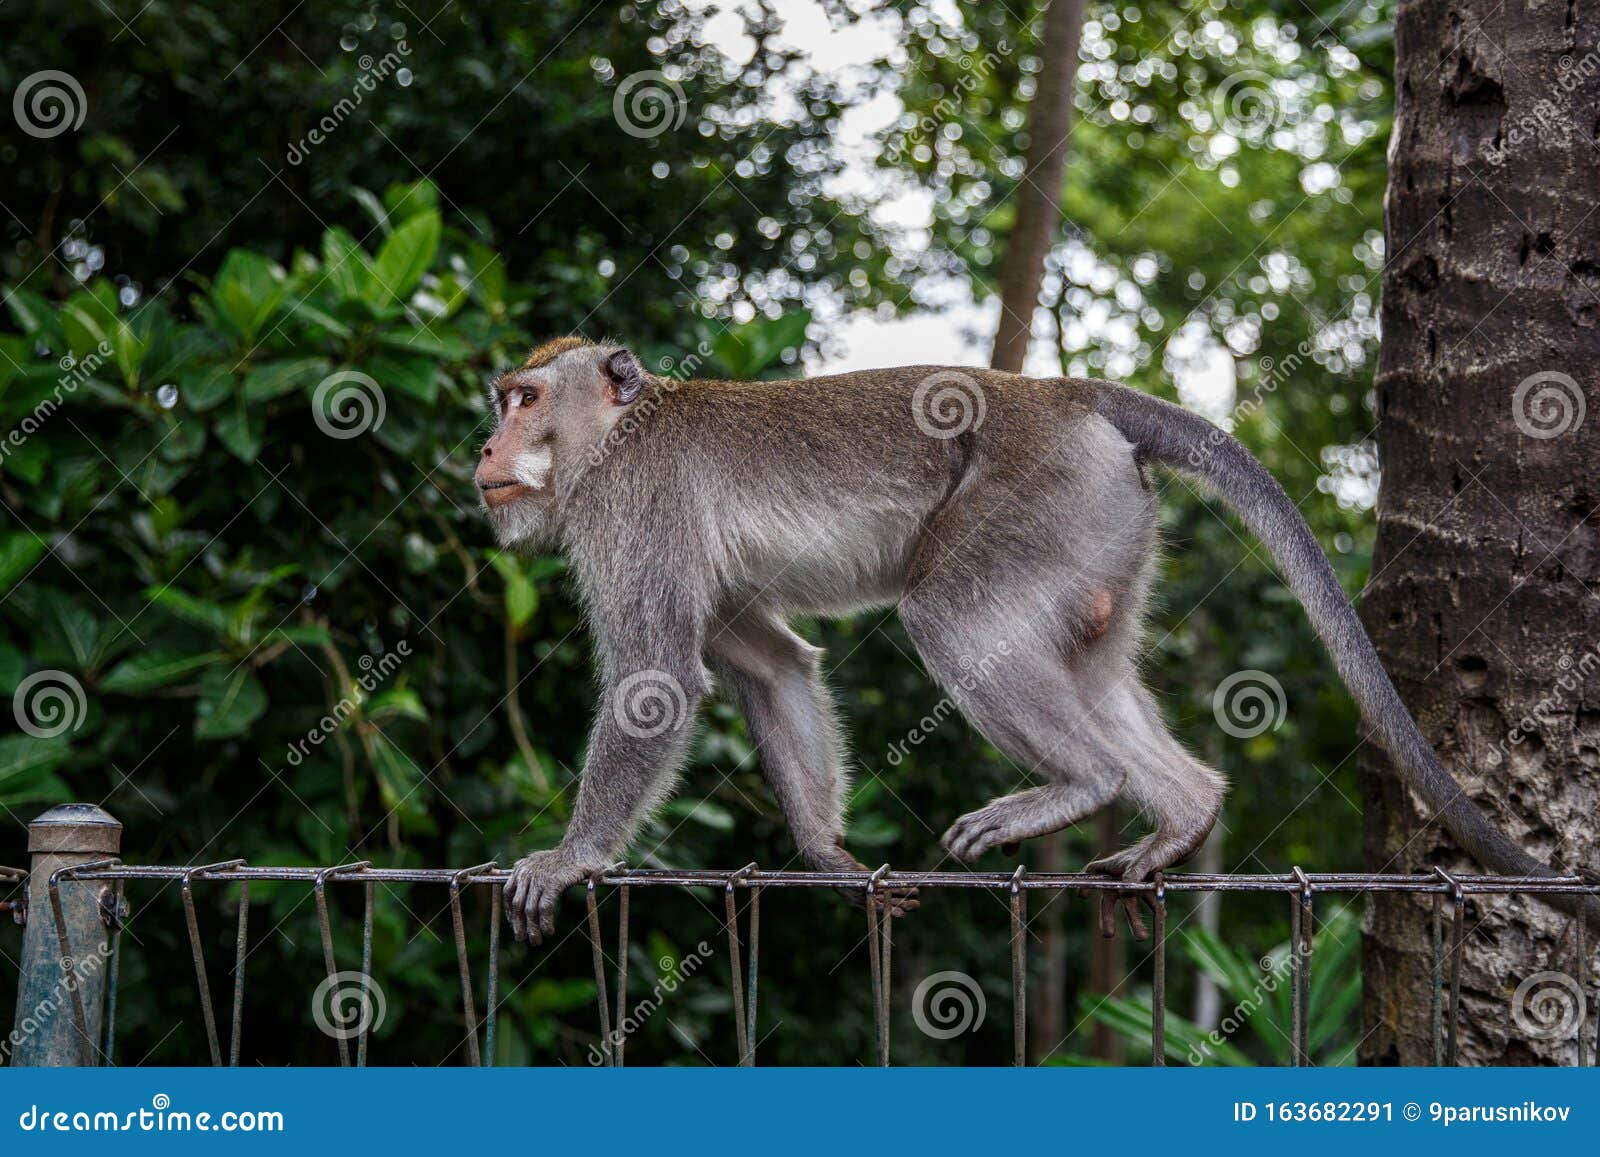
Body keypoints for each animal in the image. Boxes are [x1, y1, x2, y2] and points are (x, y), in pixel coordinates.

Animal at [476, 336, 1595, 944]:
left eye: (523, 400)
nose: (483, 448)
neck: (616, 436)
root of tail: (1066, 392)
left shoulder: (633, 508)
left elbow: (658, 678)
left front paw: (570, 857)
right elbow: (772, 662)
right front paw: (831, 857)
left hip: (1042, 498)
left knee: (952, 616)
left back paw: (1084, 785)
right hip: (1106, 524)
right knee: (1088, 665)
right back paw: (1184, 813)